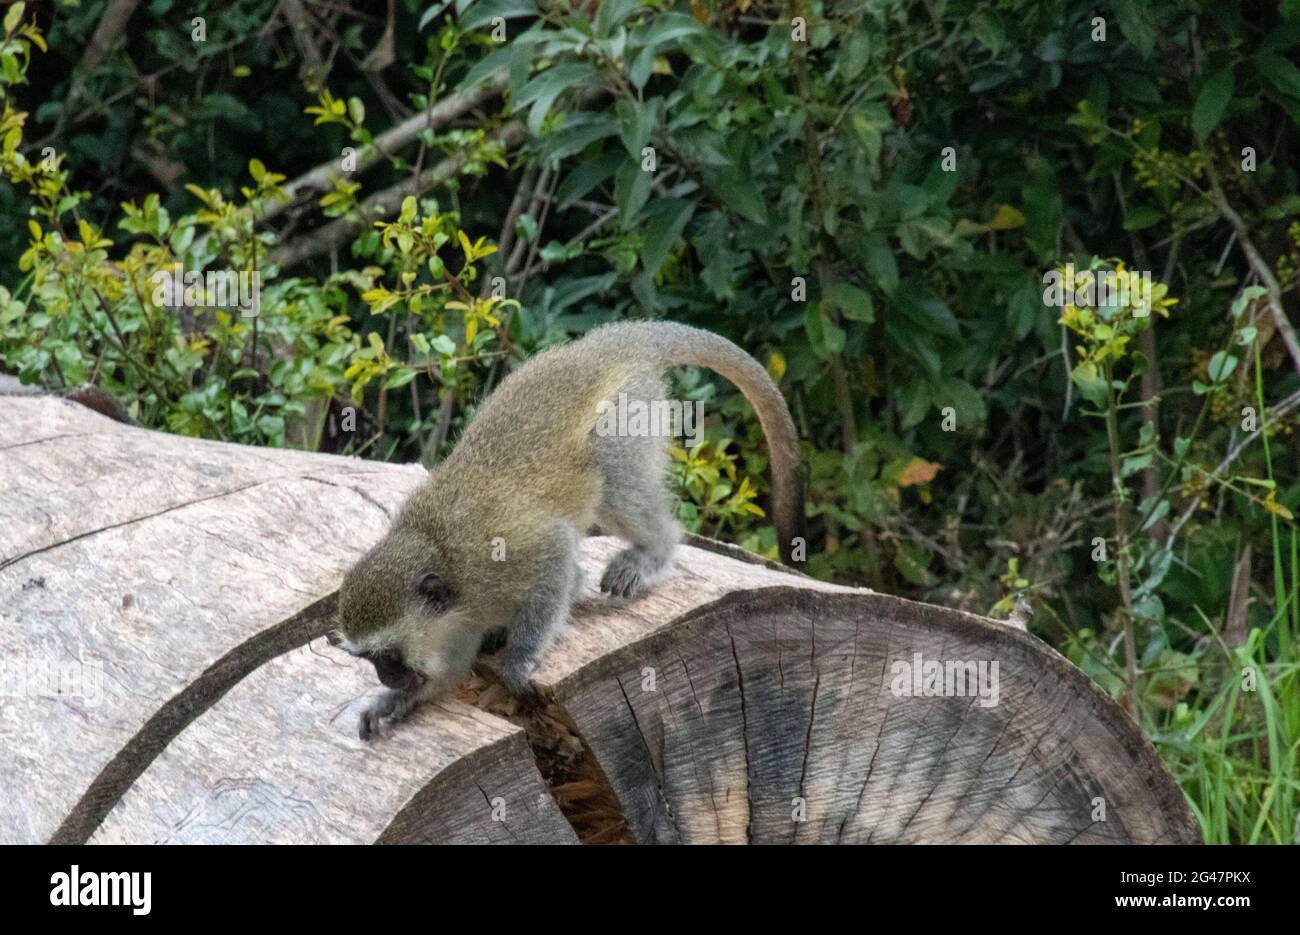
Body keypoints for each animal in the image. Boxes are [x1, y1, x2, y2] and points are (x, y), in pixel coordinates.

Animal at [328, 320, 806, 740]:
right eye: (370, 659)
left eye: (387, 656)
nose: (388, 676)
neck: (439, 555)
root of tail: (605, 346)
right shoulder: (457, 622)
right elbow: (453, 667)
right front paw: (395, 703)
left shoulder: (498, 557)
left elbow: (558, 559)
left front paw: (519, 659)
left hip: (628, 412)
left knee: (613, 474)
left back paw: (653, 552)